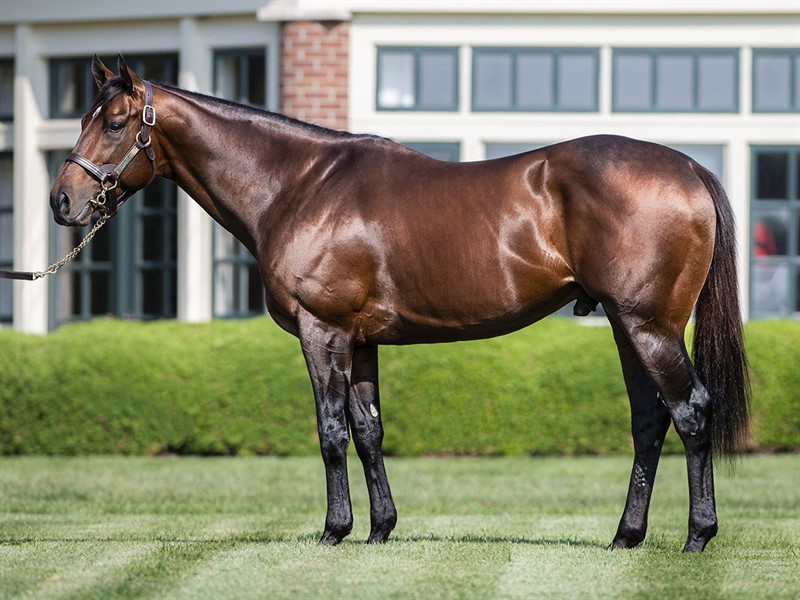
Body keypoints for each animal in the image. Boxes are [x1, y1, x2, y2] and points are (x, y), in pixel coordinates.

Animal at [51, 56, 749, 553]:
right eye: (83, 119)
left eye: (114, 123)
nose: (63, 203)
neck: (298, 186)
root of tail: (688, 168)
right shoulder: (360, 341)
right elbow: (369, 430)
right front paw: (380, 528)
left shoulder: (322, 331)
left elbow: (331, 430)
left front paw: (334, 530)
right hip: (629, 329)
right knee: (650, 421)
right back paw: (627, 537)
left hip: (649, 326)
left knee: (690, 410)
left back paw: (697, 537)